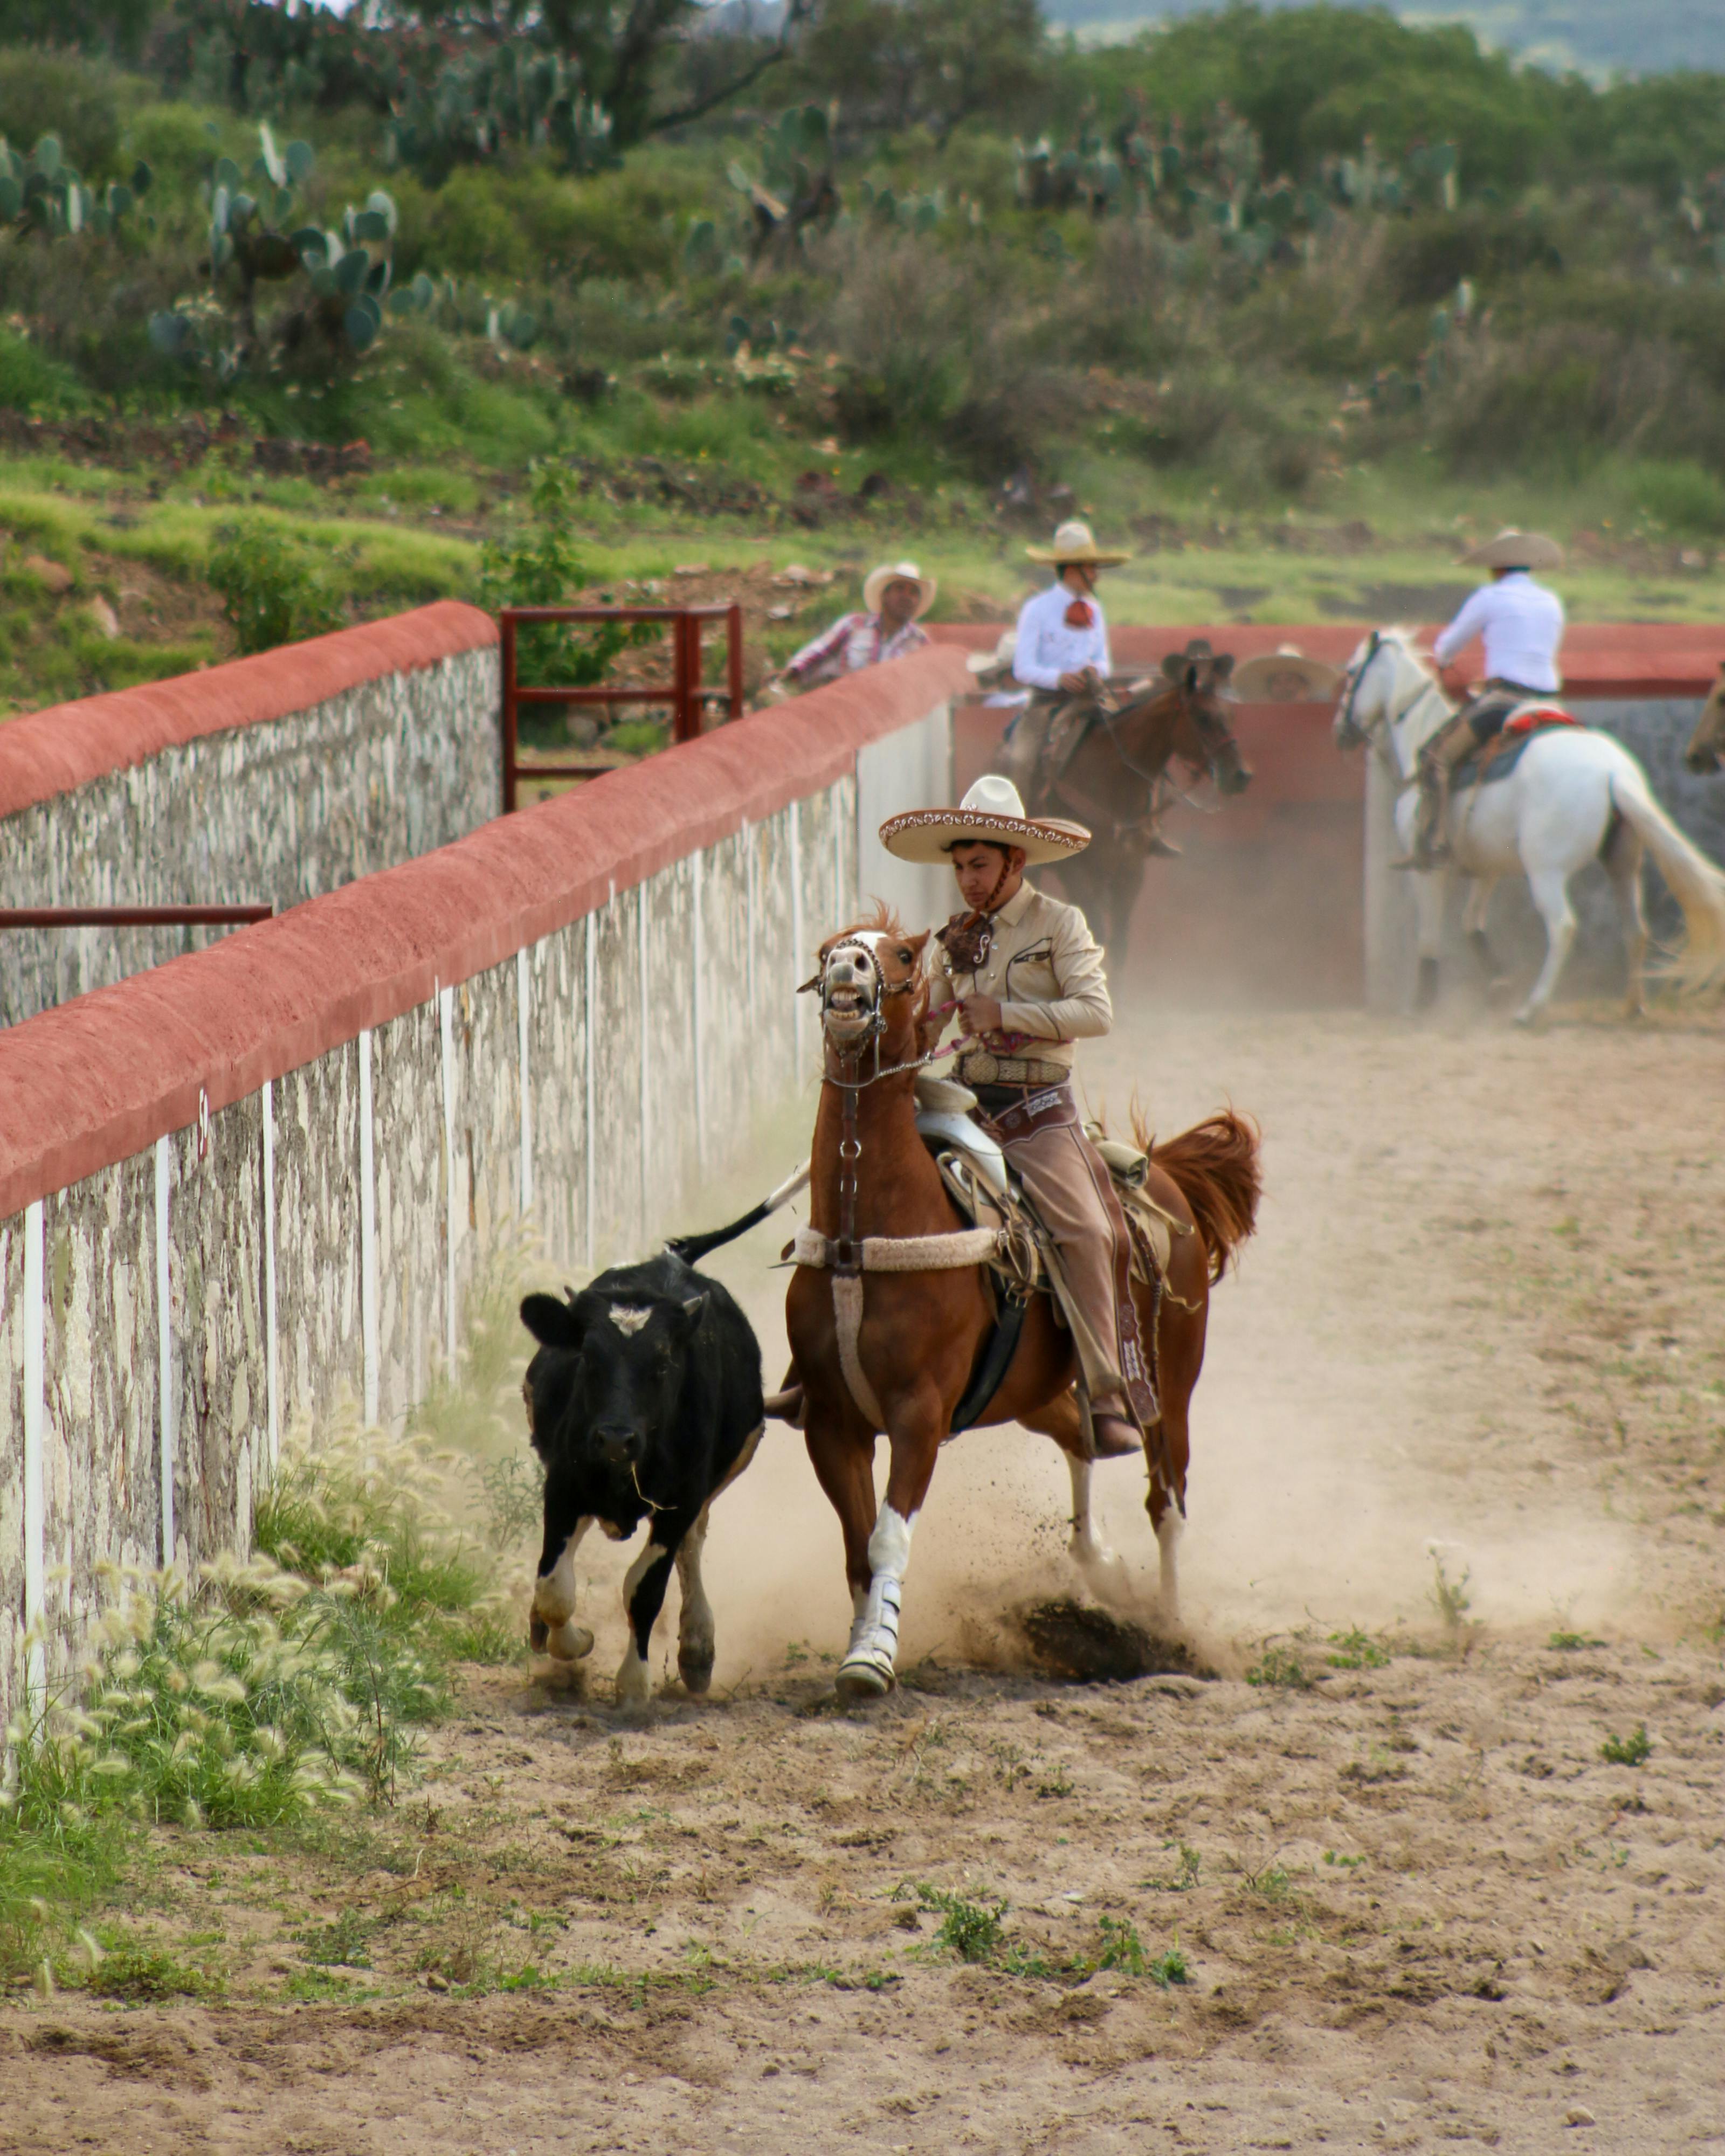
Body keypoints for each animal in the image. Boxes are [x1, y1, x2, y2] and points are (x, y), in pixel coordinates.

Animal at [520, 1251, 764, 1704]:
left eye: (663, 1362)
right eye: (588, 1357)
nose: (616, 1438)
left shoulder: (681, 1503)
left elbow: (644, 1590)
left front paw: (634, 1683)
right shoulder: (563, 1485)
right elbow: (556, 1589)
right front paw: (575, 1642)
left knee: (691, 1548)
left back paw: (697, 1647)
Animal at [785, 913, 1260, 1702]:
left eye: (903, 955)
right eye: (826, 949)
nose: (847, 969)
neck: (867, 1231)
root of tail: (1162, 1174)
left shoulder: (919, 1415)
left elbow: (887, 1534)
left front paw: (874, 1658)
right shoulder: (829, 1420)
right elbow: (856, 1546)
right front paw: (861, 1646)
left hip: (1169, 1385)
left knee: (1166, 1501)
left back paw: (1168, 1630)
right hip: (1034, 1390)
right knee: (1083, 1438)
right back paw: (1100, 1565)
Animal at [1002, 647, 1252, 965]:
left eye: (1230, 714)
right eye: (1203, 717)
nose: (1241, 776)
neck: (1114, 781)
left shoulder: (1130, 873)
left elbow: (1118, 943)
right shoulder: (1076, 870)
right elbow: (1094, 934)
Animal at [1334, 629, 1725, 1023]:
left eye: (1351, 673)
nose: (1340, 731)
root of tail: (1613, 774)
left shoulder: (1427, 869)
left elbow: (1429, 931)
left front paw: (1422, 1001)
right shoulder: (1487, 868)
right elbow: (1471, 923)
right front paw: (1498, 985)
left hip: (1545, 869)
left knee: (1563, 926)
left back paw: (1532, 1007)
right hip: (1622, 862)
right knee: (1636, 930)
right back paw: (1633, 1006)